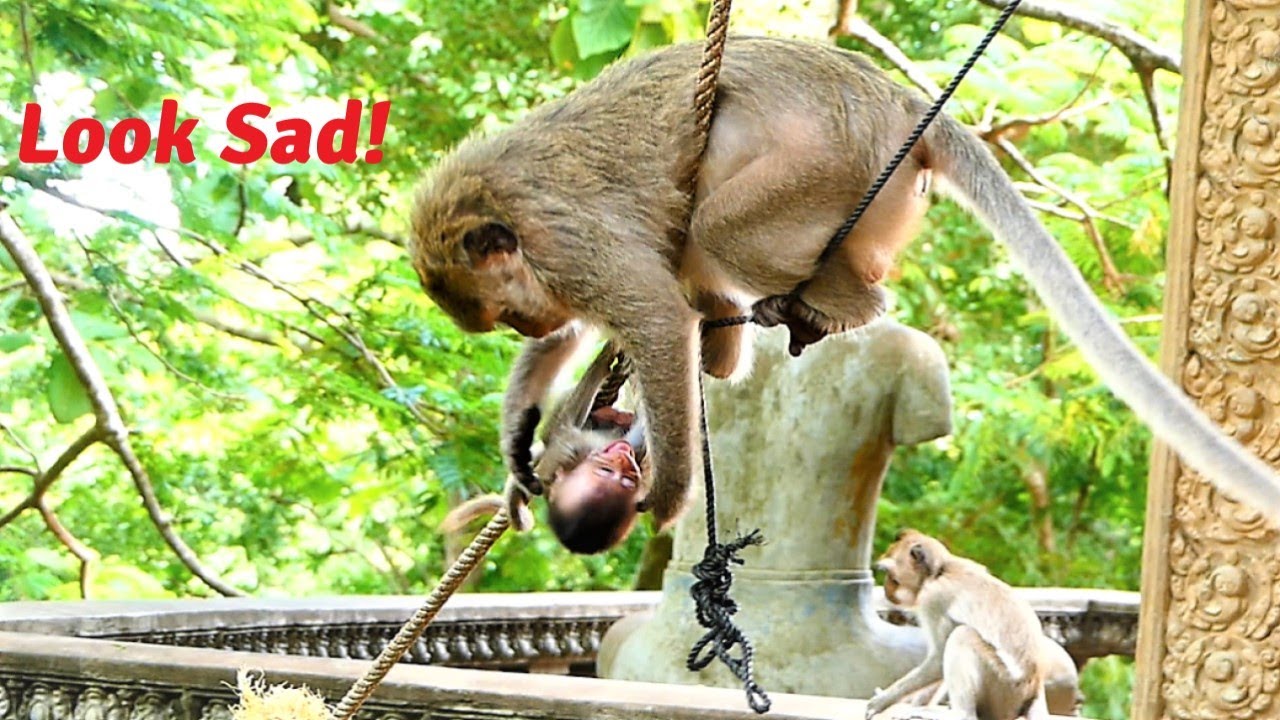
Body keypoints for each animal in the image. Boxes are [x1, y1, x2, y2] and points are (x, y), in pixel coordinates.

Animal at [409, 36, 1280, 542]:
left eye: (503, 310)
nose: (523, 325)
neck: (503, 201)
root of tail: (898, 104)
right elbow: (588, 331)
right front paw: (517, 449)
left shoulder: (564, 244)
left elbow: (652, 318)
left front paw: (667, 493)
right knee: (706, 278)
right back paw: (741, 330)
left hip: (832, 165)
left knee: (717, 228)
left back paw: (832, 309)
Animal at [867, 529, 1049, 720]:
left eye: (892, 576)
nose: (887, 588)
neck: (940, 571)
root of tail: (1034, 688)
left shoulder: (932, 599)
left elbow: (938, 659)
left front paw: (882, 701)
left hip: (1003, 688)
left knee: (962, 635)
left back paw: (960, 713)